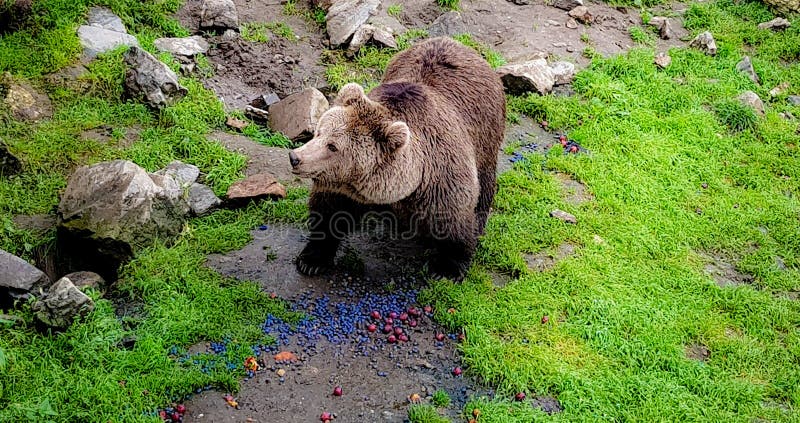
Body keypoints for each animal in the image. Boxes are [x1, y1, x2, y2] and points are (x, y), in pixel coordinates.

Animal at [288, 36, 506, 280]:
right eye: (319, 132)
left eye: (333, 146)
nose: (295, 157)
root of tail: (457, 43)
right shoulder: (340, 186)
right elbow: (329, 213)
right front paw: (312, 260)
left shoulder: (442, 176)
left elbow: (453, 218)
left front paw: (446, 268)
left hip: (485, 132)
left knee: (485, 181)